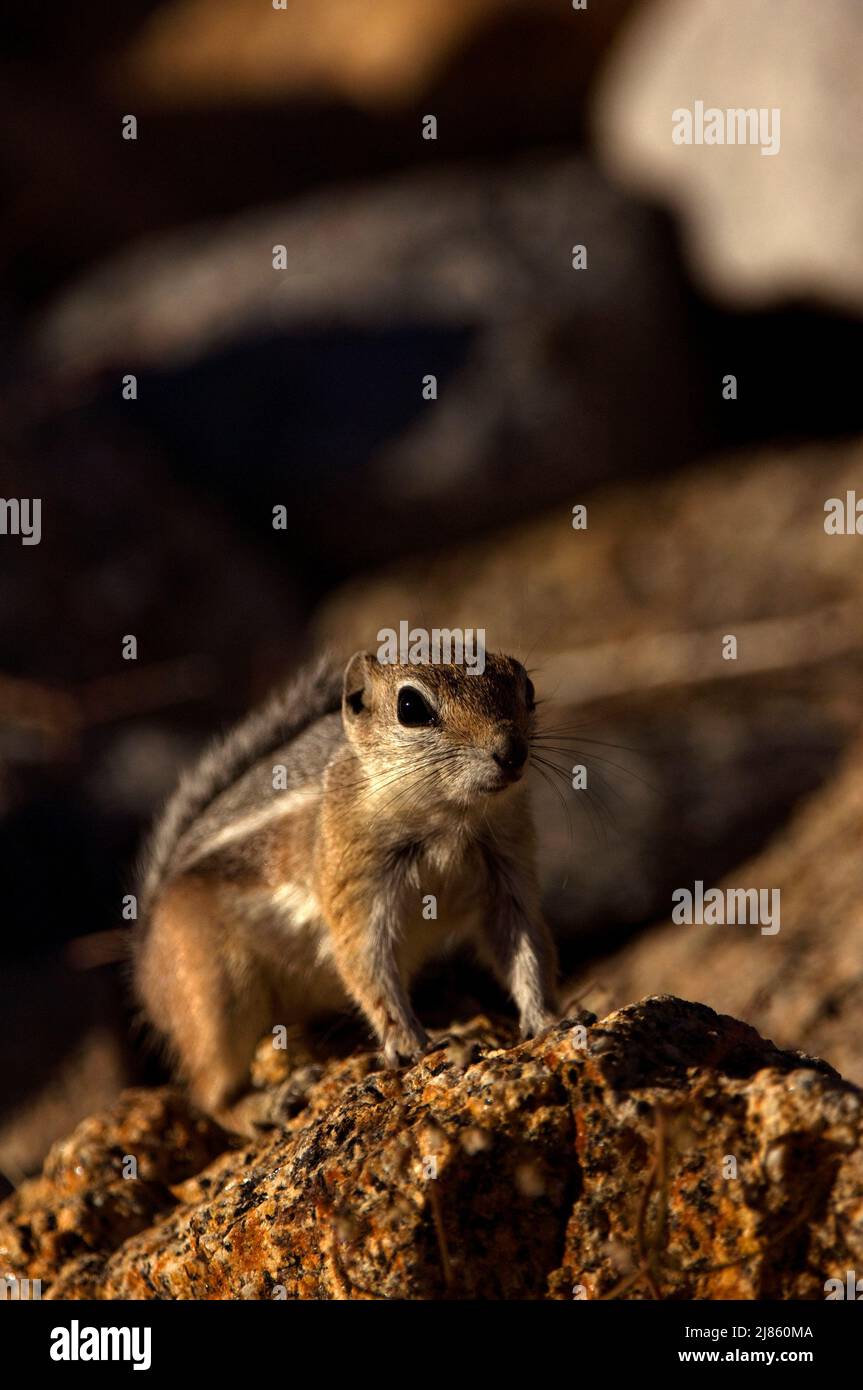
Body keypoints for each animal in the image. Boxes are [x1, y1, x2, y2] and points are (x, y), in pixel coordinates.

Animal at [133, 649, 559, 1130]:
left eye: (526, 687)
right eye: (411, 707)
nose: (512, 752)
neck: (450, 822)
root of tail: (145, 948)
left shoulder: (507, 876)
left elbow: (525, 946)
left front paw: (546, 1018)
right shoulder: (355, 886)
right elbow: (366, 963)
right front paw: (415, 1044)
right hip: (212, 991)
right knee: (209, 1095)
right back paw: (268, 1103)